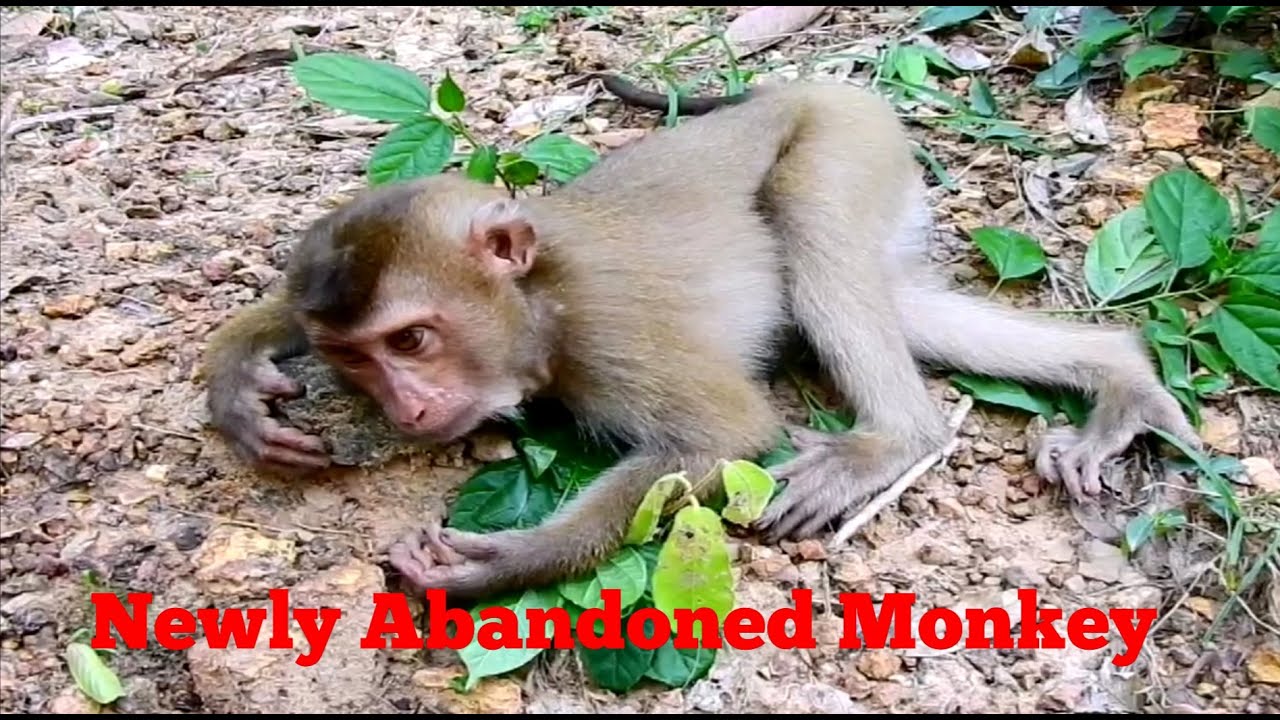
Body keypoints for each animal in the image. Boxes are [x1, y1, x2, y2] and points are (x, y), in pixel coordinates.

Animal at [201, 79, 1201, 602]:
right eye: (356, 360)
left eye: (410, 341)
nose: (404, 407)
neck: (542, 303)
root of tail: (810, 82)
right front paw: (240, 369)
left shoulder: (608, 329)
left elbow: (726, 432)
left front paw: (502, 565)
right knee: (905, 305)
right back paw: (1120, 375)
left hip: (847, 141)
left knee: (809, 218)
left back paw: (895, 441)